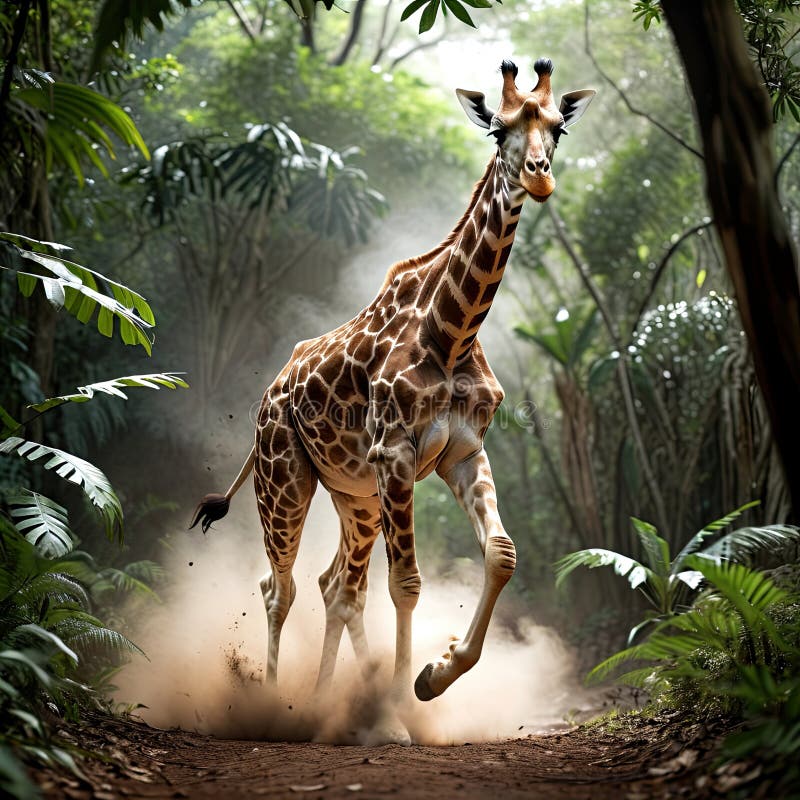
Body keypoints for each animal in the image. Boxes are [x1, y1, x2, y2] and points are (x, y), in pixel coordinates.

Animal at [191, 57, 594, 740]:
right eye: (498, 130)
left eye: (558, 129)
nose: (539, 177)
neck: (454, 332)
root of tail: (271, 393)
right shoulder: (396, 453)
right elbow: (406, 581)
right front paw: (404, 707)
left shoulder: (462, 452)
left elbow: (502, 555)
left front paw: (432, 676)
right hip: (286, 479)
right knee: (281, 586)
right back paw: (276, 705)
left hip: (357, 499)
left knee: (335, 587)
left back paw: (329, 704)